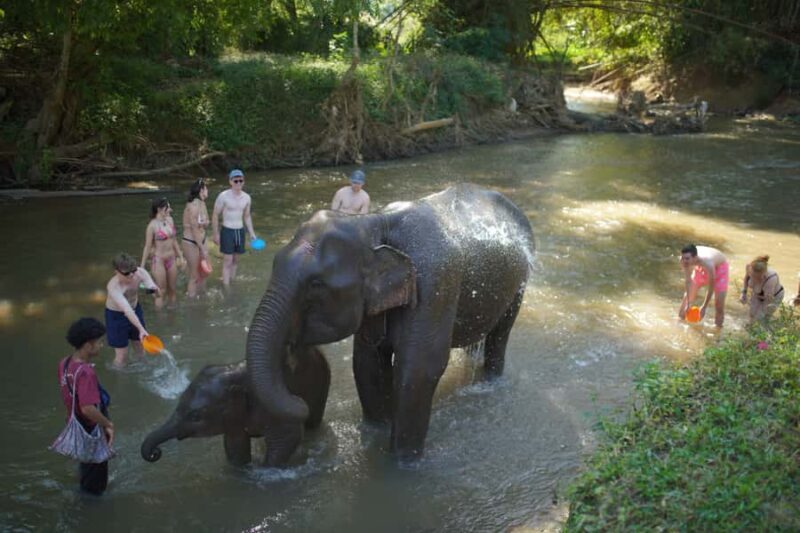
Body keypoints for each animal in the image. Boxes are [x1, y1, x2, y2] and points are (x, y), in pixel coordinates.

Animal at [141, 345, 330, 466]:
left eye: (195, 416)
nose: (155, 453)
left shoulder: (276, 406)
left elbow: (289, 436)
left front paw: (265, 469)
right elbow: (235, 444)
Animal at [246, 183, 534, 464]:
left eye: (316, 285)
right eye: (274, 263)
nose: (302, 405)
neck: (375, 223)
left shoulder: (435, 282)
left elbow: (419, 368)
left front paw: (402, 462)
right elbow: (368, 362)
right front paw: (376, 431)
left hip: (520, 281)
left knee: (500, 335)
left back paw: (491, 381)